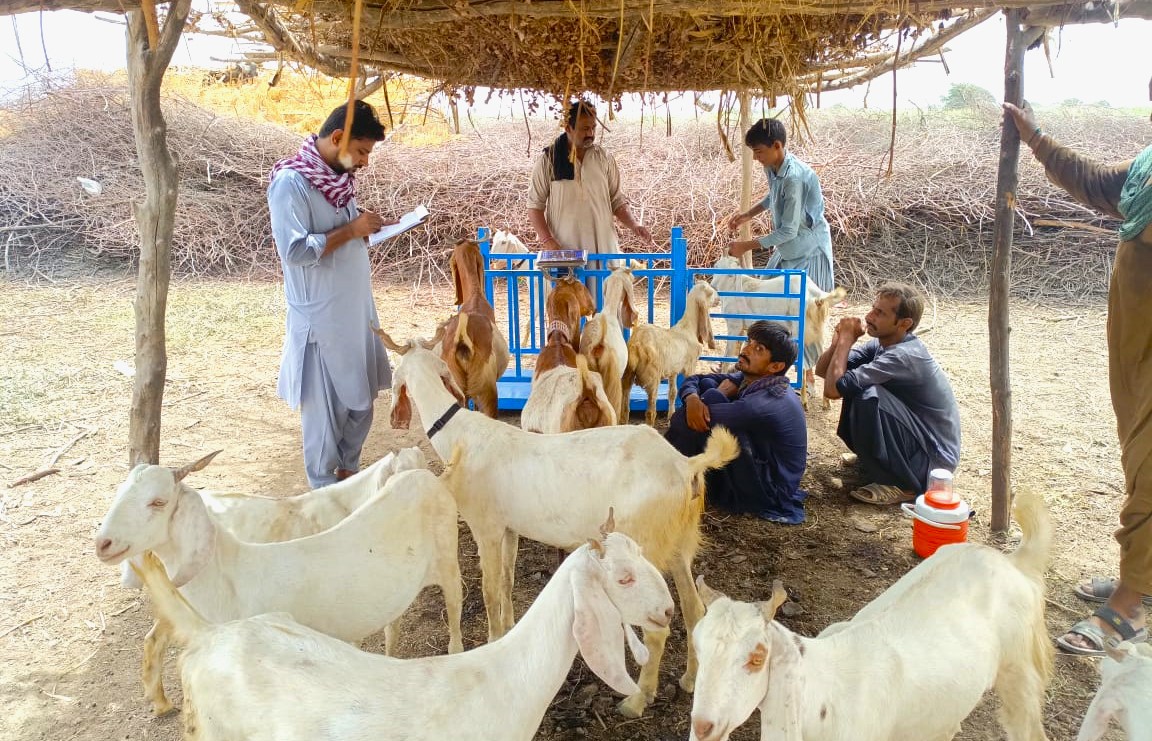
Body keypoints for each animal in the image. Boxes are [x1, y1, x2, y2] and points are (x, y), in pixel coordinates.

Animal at [94, 454, 464, 716]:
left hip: (450, 564)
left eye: (158, 502)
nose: (103, 544)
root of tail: (428, 479)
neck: (228, 575)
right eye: (118, 493)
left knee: (456, 626)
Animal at [384, 337, 740, 718]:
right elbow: (507, 581)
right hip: (678, 540)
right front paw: (508, 629)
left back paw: (637, 700)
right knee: (694, 609)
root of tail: (685, 465)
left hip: (645, 541)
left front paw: (492, 639)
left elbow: (489, 589)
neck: (461, 436)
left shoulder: (487, 526)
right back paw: (689, 679)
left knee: (658, 626)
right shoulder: (509, 527)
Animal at [622, 280, 718, 427]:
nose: (719, 299)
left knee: (625, 410)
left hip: (627, 375)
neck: (688, 328)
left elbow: (672, 393)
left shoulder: (673, 370)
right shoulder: (690, 367)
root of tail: (636, 345)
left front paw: (671, 416)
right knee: (650, 412)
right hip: (653, 379)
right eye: (711, 292)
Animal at [687, 490, 1053, 741]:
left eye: (757, 658)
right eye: (698, 650)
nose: (703, 727)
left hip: (1018, 670)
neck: (820, 694)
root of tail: (1011, 561)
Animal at [710, 255, 846, 411]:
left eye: (719, 268)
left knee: (803, 364)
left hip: (799, 330)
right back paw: (825, 402)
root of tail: (816, 296)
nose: (713, 287)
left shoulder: (734, 325)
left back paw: (804, 401)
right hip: (819, 331)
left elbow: (728, 354)